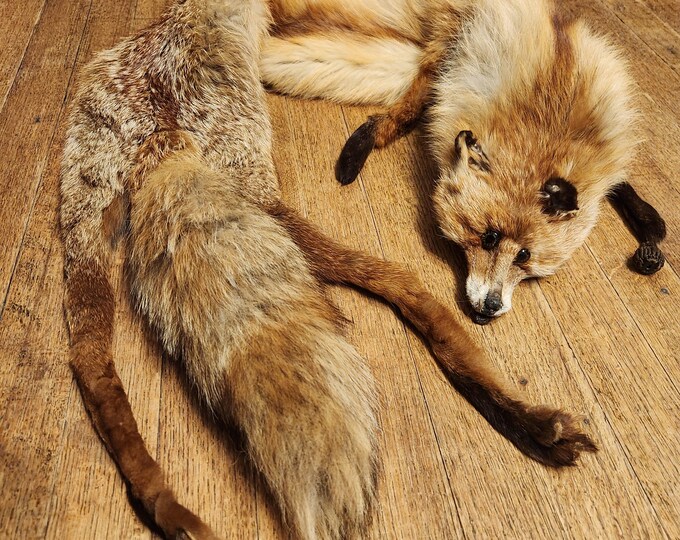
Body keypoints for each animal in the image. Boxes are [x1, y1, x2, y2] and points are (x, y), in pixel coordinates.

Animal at [60, 0, 596, 538]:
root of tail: (157, 141)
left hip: (83, 241)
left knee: (91, 366)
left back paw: (168, 511)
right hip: (259, 189)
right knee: (405, 284)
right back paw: (529, 419)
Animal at [261, 0, 668, 325]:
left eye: (525, 256)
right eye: (488, 238)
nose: (490, 306)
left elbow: (621, 188)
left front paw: (650, 234)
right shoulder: (447, 55)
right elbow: (407, 110)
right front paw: (361, 145)